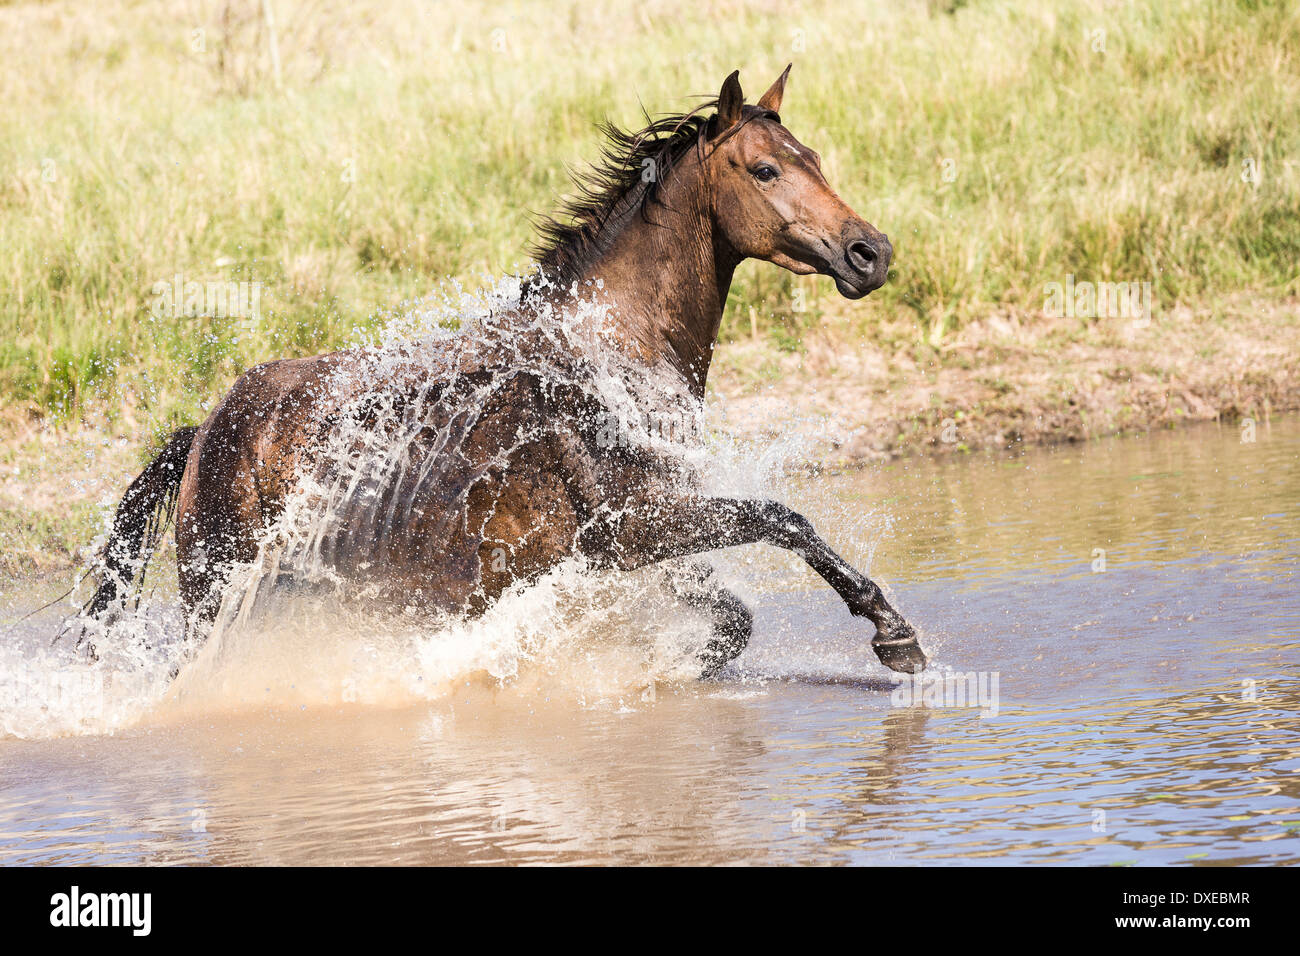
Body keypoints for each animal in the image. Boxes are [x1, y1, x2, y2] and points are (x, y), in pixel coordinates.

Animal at [84, 66, 929, 678]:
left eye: (812, 159)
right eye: (763, 170)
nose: (870, 252)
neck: (612, 352)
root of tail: (203, 434)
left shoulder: (622, 546)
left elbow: (730, 613)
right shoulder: (633, 525)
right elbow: (786, 522)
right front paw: (895, 637)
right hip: (216, 594)